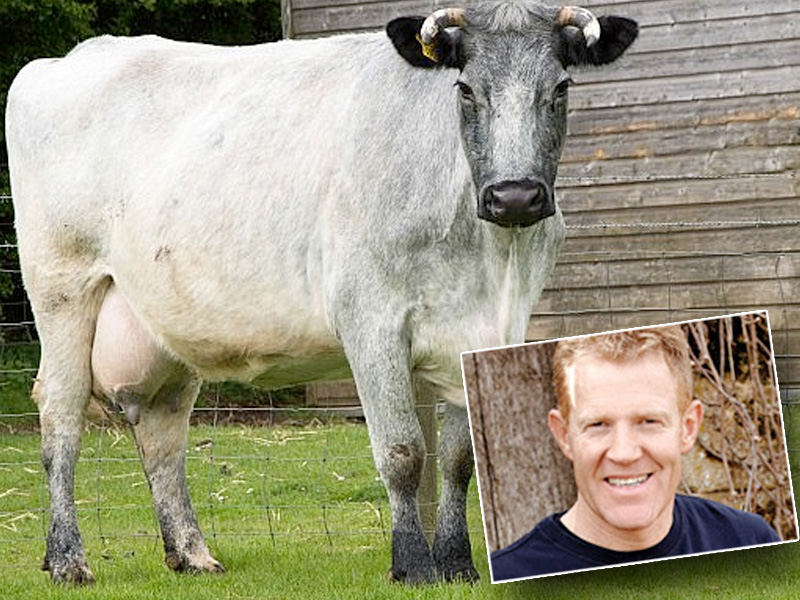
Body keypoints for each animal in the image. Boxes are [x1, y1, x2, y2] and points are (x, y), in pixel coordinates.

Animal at [5, 1, 637, 585]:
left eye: (560, 87)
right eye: (463, 89)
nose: (514, 195)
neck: (488, 257)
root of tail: (69, 58)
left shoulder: (482, 329)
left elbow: (460, 460)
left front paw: (458, 564)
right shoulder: (370, 320)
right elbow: (403, 452)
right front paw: (413, 565)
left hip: (164, 321)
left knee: (163, 432)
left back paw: (191, 553)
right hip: (63, 288)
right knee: (61, 414)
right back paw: (67, 559)